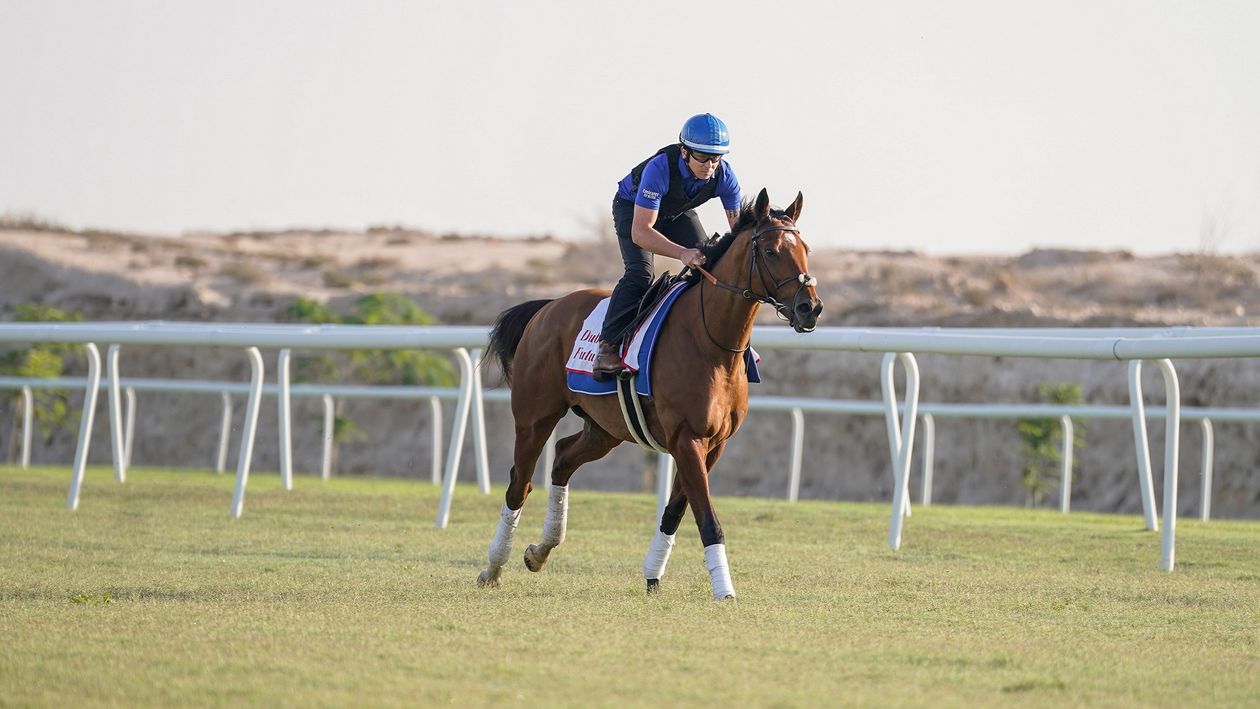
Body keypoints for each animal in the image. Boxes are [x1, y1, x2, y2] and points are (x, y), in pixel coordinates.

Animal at [476, 188, 822, 599]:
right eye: (770, 251)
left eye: (805, 249)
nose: (810, 307)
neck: (711, 342)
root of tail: (547, 308)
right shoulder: (686, 438)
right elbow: (707, 518)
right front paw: (724, 590)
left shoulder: (714, 444)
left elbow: (675, 511)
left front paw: (653, 575)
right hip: (535, 417)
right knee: (520, 483)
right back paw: (493, 567)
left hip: (605, 429)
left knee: (561, 459)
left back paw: (540, 550)